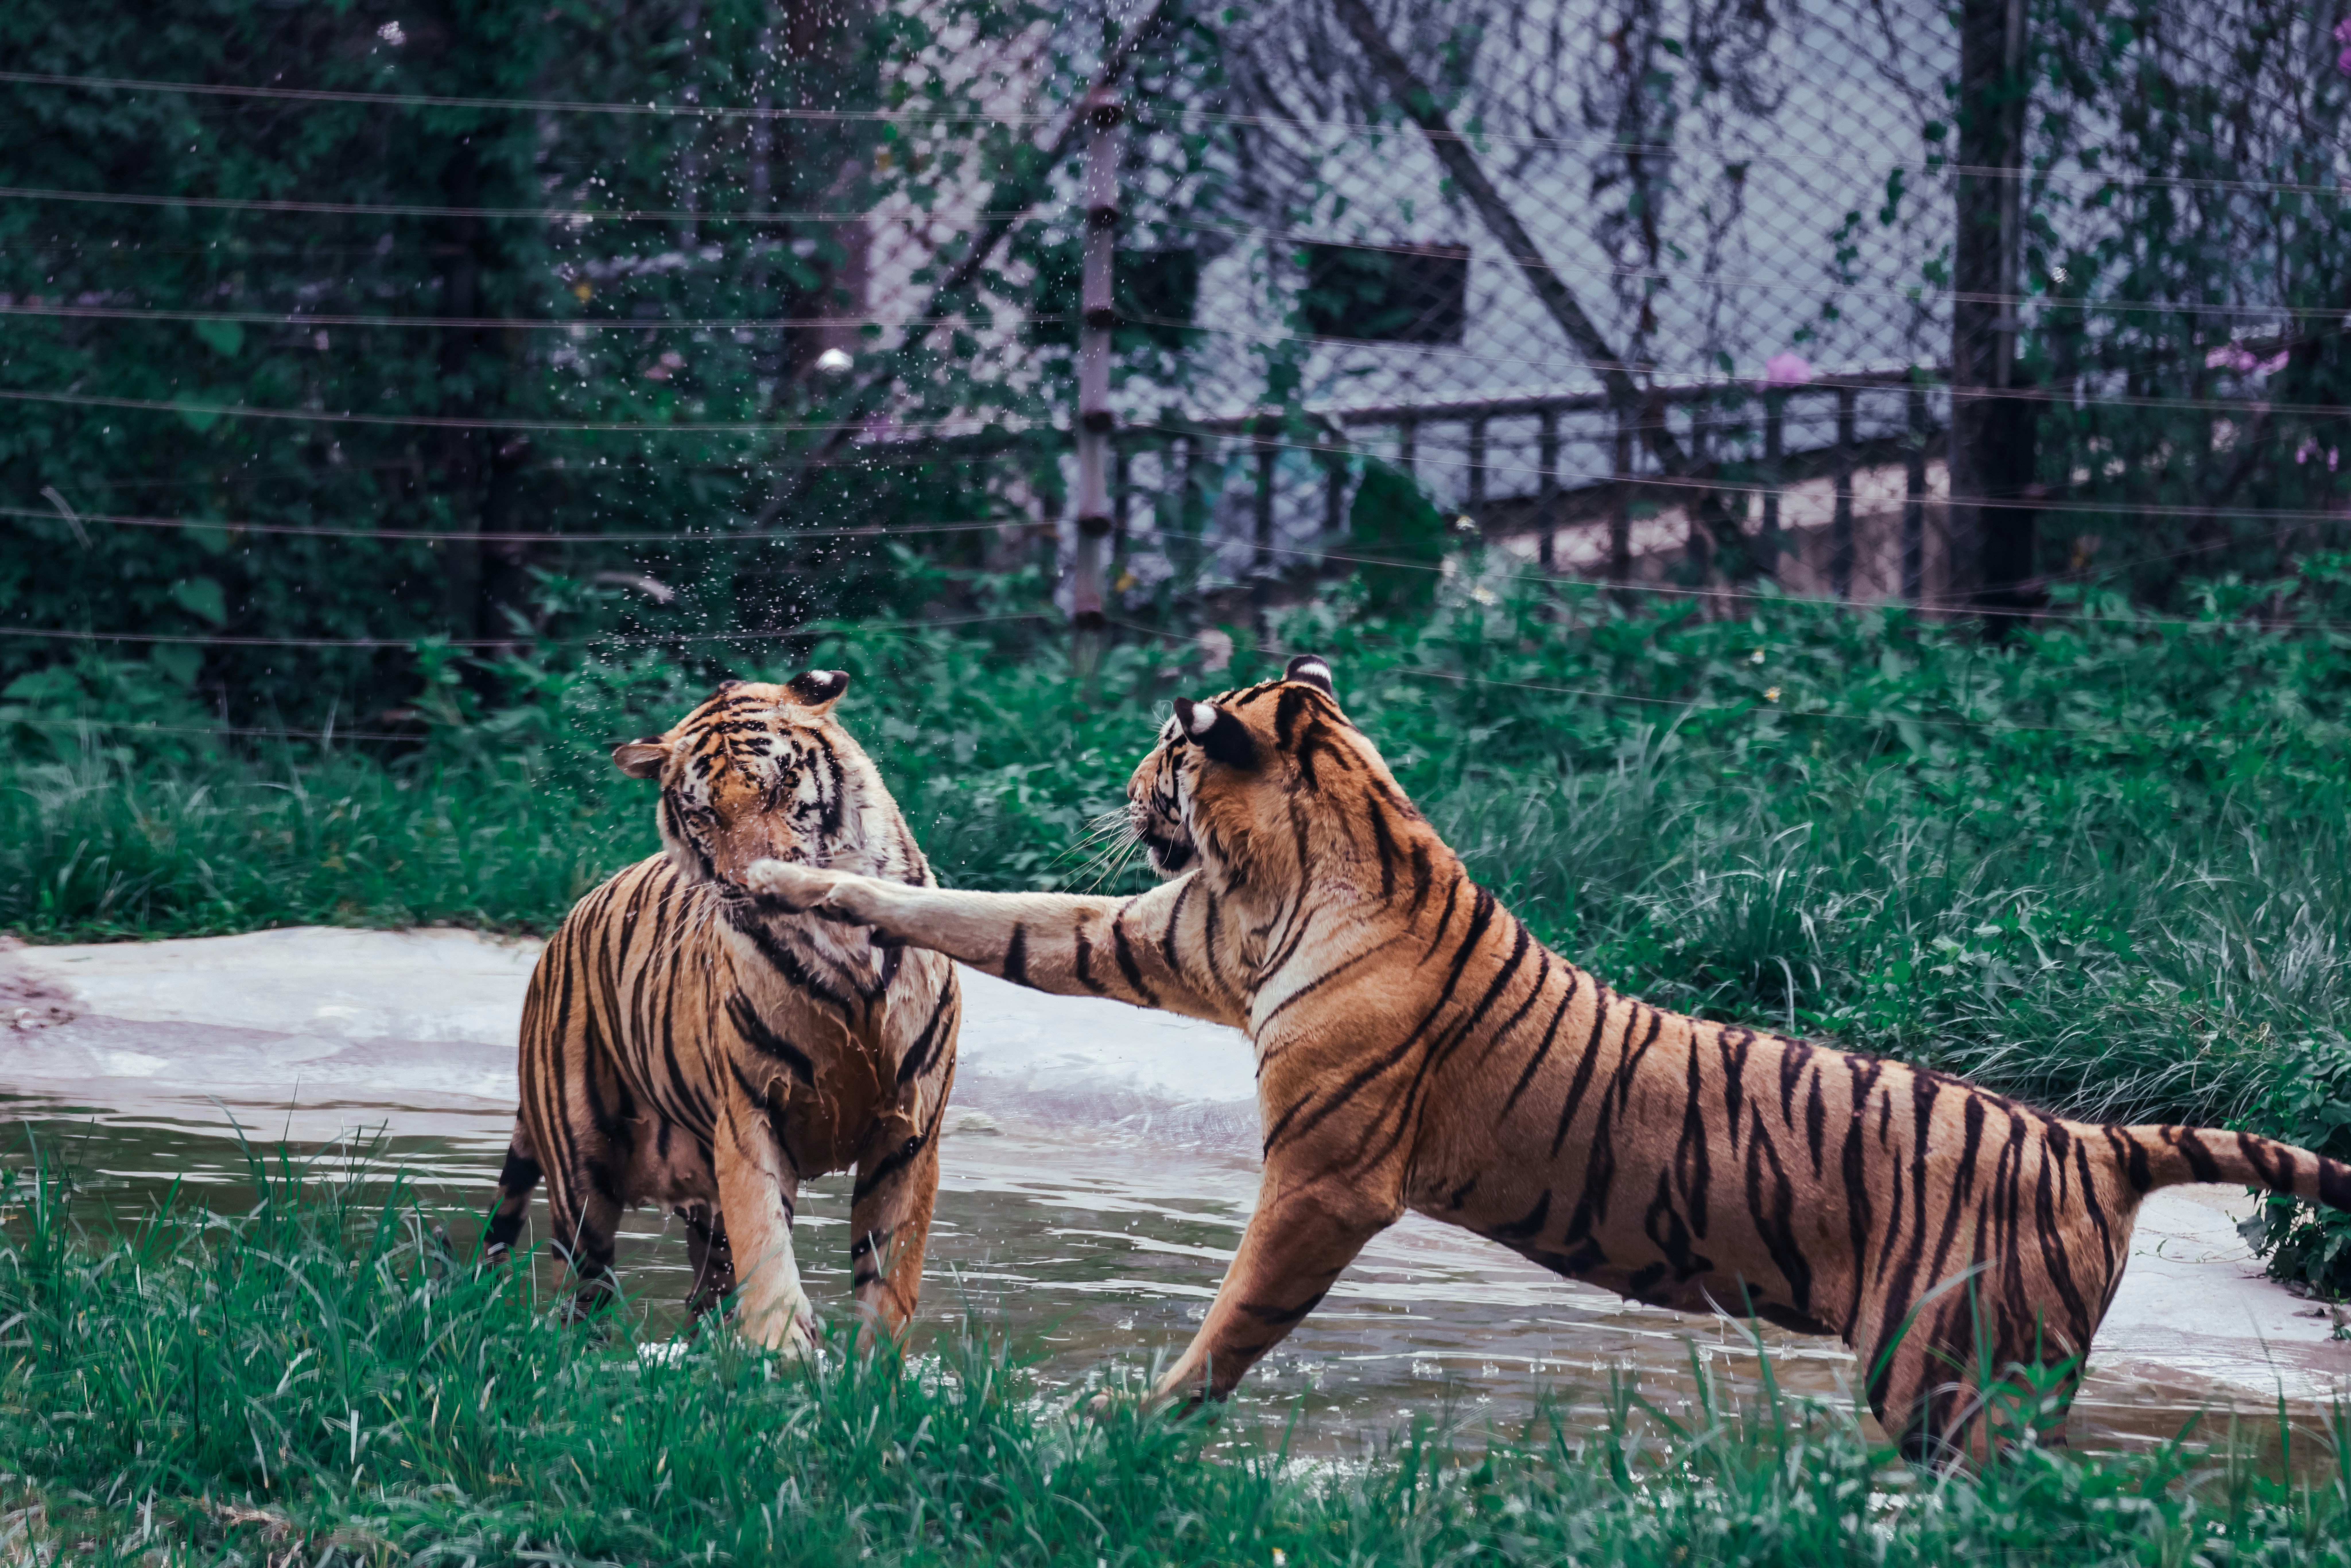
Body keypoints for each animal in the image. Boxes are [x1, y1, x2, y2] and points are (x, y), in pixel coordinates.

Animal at [484, 669, 960, 1354]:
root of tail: (564, 926)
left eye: (783, 786)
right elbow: (765, 1240)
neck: (837, 945)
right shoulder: (750, 1115)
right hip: (582, 1169)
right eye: (704, 811)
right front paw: (786, 1346)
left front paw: (871, 1366)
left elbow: (890, 1273)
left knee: (700, 1290)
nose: (754, 882)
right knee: (583, 1289)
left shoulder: (910, 1129)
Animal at [746, 652, 2351, 1460]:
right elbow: (982, 913)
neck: (1301, 854)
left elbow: (1238, 1317)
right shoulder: (1158, 936)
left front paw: (1132, 1424)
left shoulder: (1326, 1177)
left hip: (1954, 1365)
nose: (1126, 786)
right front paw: (788, 881)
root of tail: (2100, 1138)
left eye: (1167, 749)